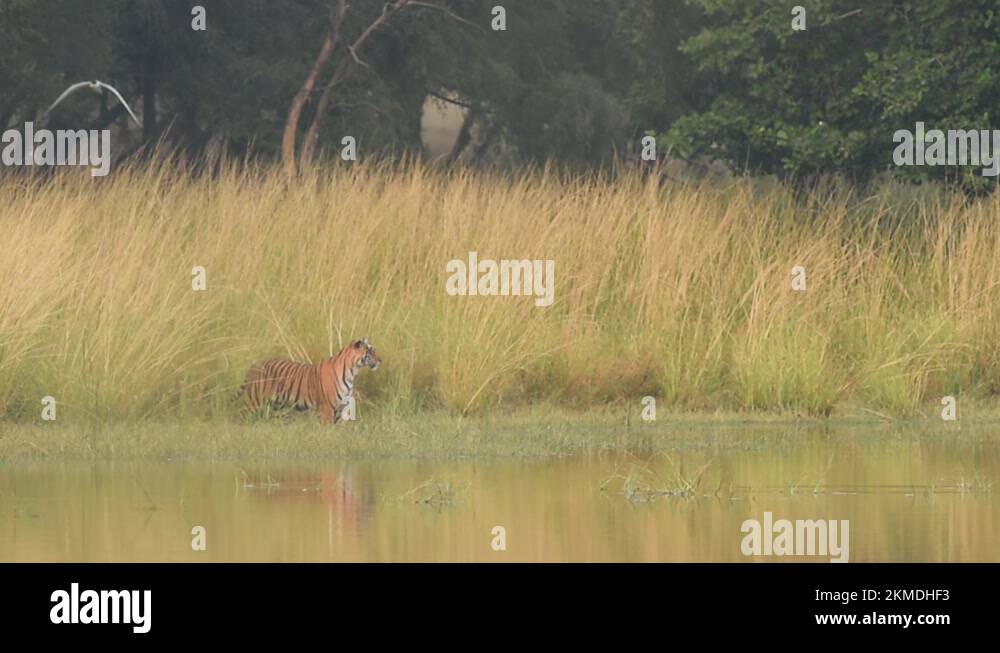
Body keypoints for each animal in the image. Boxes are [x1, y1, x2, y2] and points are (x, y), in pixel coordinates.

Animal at [239, 338, 381, 424]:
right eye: (371, 351)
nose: (381, 360)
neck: (352, 372)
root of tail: (255, 365)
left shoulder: (342, 408)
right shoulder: (327, 407)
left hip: (277, 404)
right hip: (255, 402)